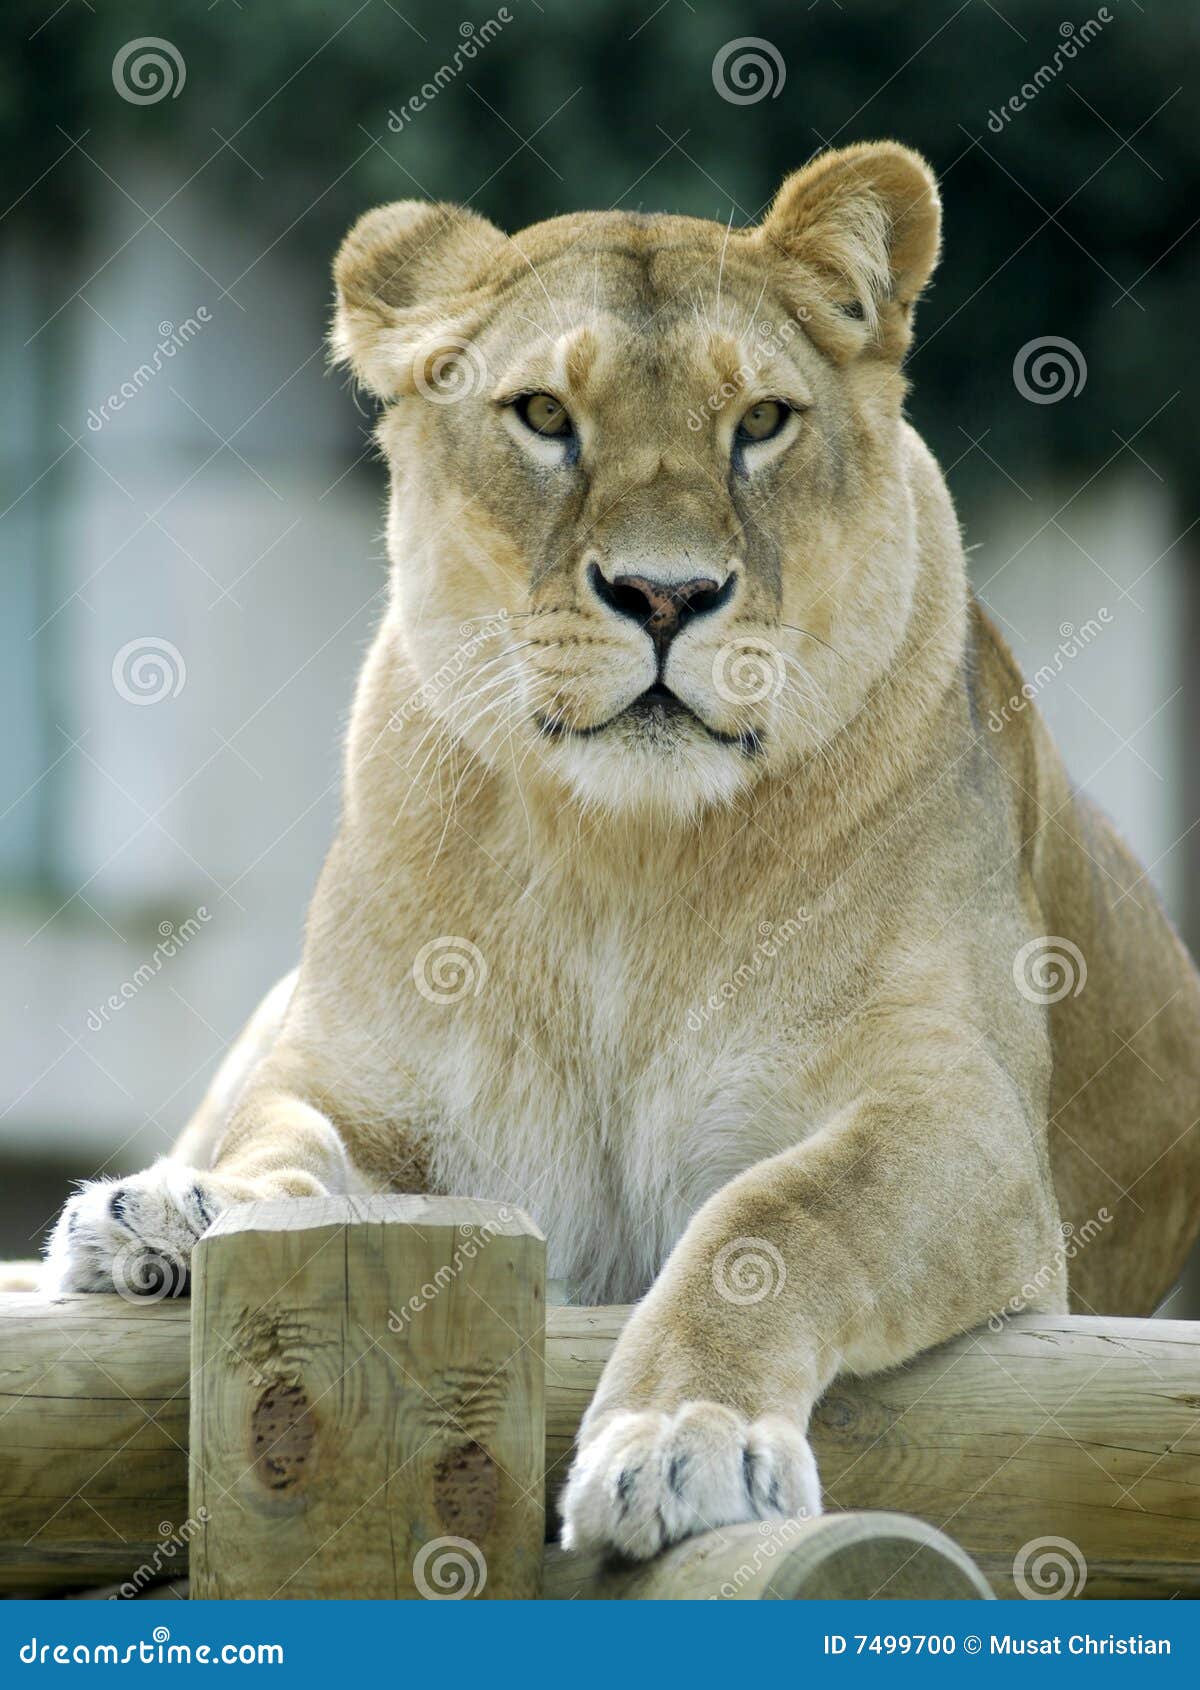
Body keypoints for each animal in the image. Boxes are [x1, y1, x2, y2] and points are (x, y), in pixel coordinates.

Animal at [43, 142, 1200, 1561]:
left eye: (760, 422)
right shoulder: (350, 1069)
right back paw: (144, 1213)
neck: (619, 860)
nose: (665, 595)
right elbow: (282, 1143)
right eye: (544, 414)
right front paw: (206, 1207)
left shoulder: (964, 1126)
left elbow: (770, 1220)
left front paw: (687, 1438)